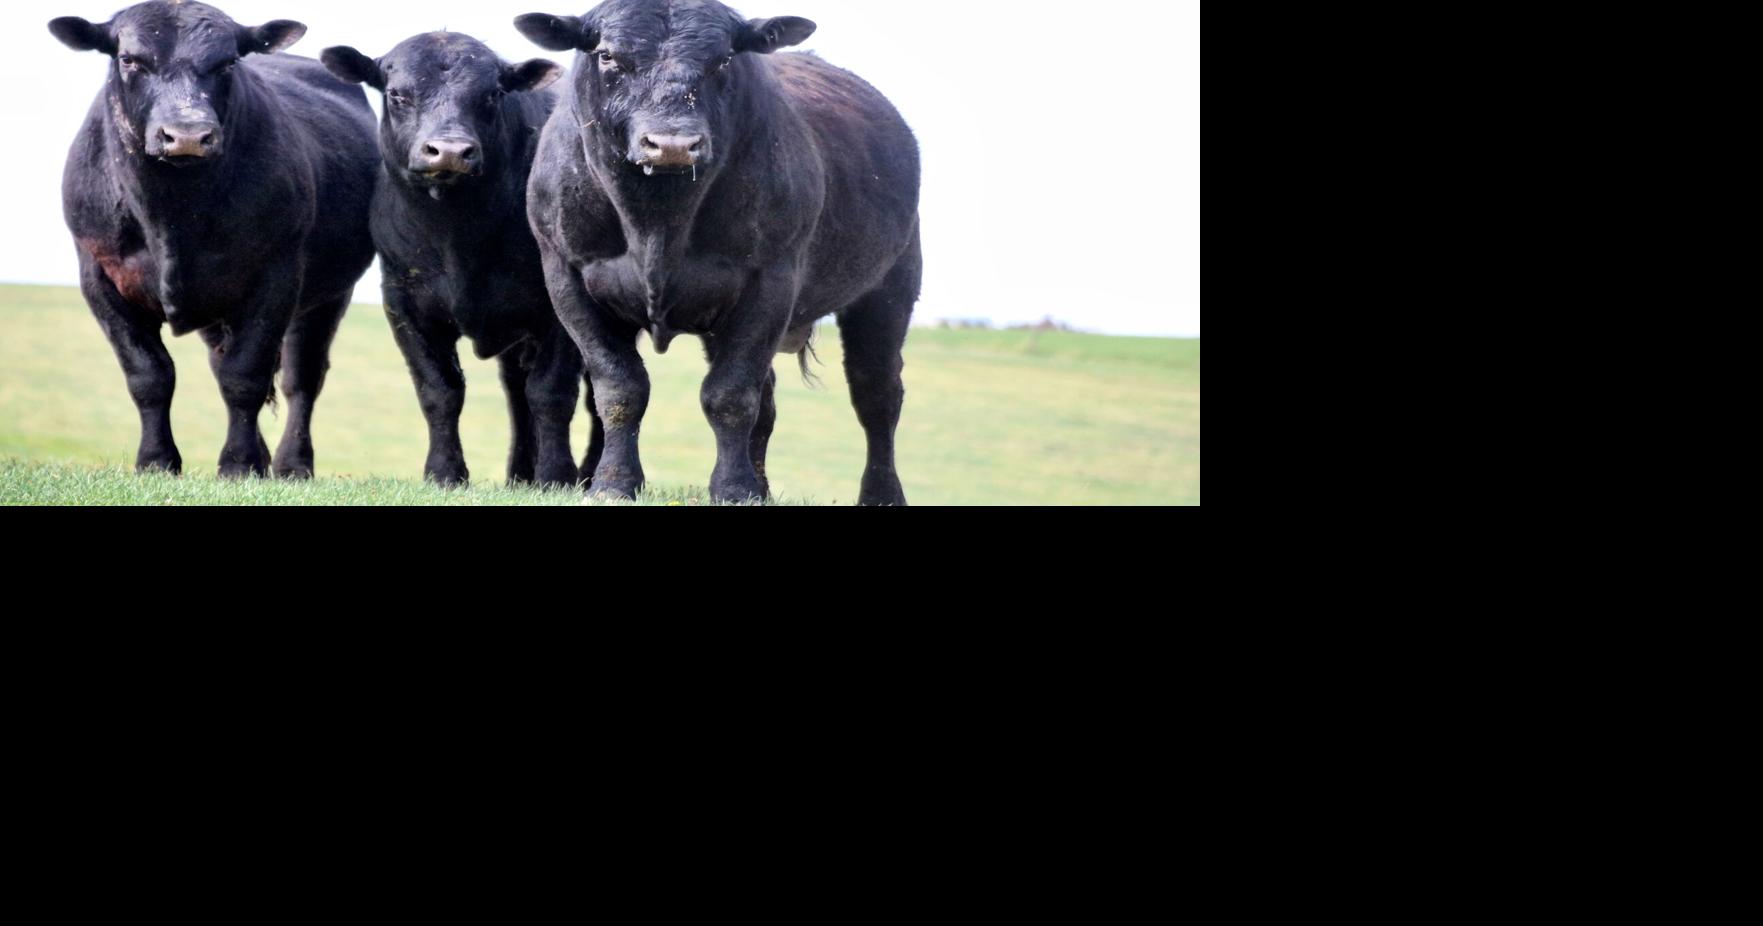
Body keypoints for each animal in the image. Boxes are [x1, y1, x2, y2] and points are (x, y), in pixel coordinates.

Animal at [49, 1, 377, 479]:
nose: (187, 135)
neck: (171, 214)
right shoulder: (100, 277)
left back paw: (292, 464)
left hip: (329, 295)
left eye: (227, 63)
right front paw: (157, 460)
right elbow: (149, 375)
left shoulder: (276, 276)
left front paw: (238, 464)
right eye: (129, 59)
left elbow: (245, 376)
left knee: (301, 379)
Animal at [321, 33, 598, 488]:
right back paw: (520, 473)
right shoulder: (404, 304)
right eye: (398, 94)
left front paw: (557, 475)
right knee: (516, 393)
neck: (459, 239)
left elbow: (552, 393)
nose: (449, 152)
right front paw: (445, 472)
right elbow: (440, 390)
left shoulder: (559, 310)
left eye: (492, 95)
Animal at [515, 0, 922, 505]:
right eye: (608, 55)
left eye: (724, 59)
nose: (671, 144)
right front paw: (614, 483)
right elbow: (620, 387)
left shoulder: (770, 281)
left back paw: (881, 492)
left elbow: (729, 395)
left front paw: (732, 488)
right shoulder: (568, 279)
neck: (658, 221)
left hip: (889, 290)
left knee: (877, 394)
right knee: (769, 402)